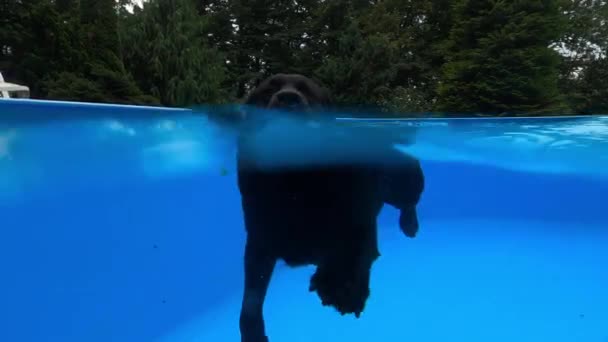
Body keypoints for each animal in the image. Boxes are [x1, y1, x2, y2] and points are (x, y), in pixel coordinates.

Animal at [235, 74, 426, 342]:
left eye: (307, 91)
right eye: (268, 90)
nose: (288, 97)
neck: (295, 184)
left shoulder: (359, 213)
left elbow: (356, 247)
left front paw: (344, 289)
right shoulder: (259, 240)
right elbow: (251, 297)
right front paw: (252, 333)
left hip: (405, 181)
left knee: (409, 202)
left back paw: (409, 225)